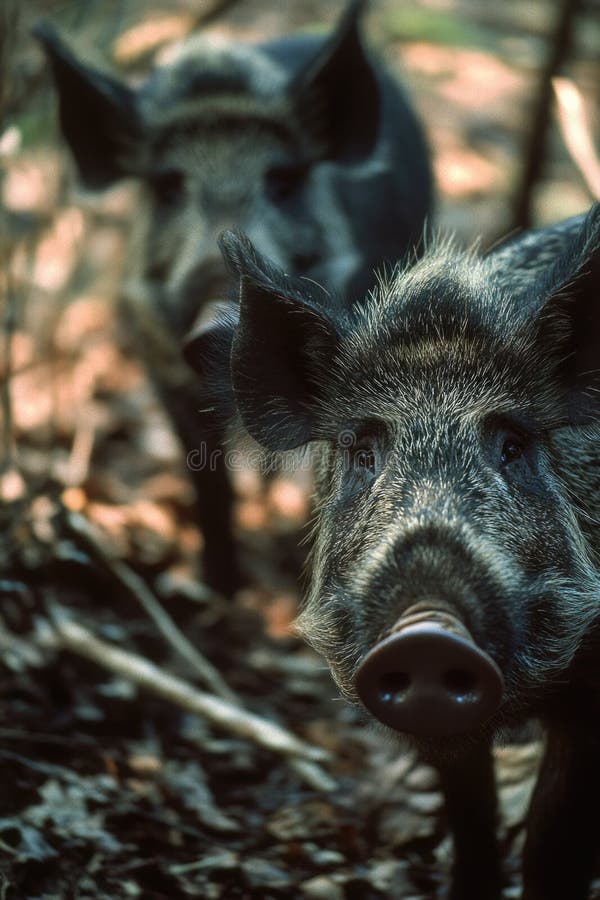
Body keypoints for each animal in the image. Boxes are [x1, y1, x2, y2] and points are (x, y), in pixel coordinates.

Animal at [35, 0, 433, 595]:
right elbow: (210, 483)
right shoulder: (162, 368)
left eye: (284, 180)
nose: (222, 316)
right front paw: (219, 590)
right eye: (167, 186)